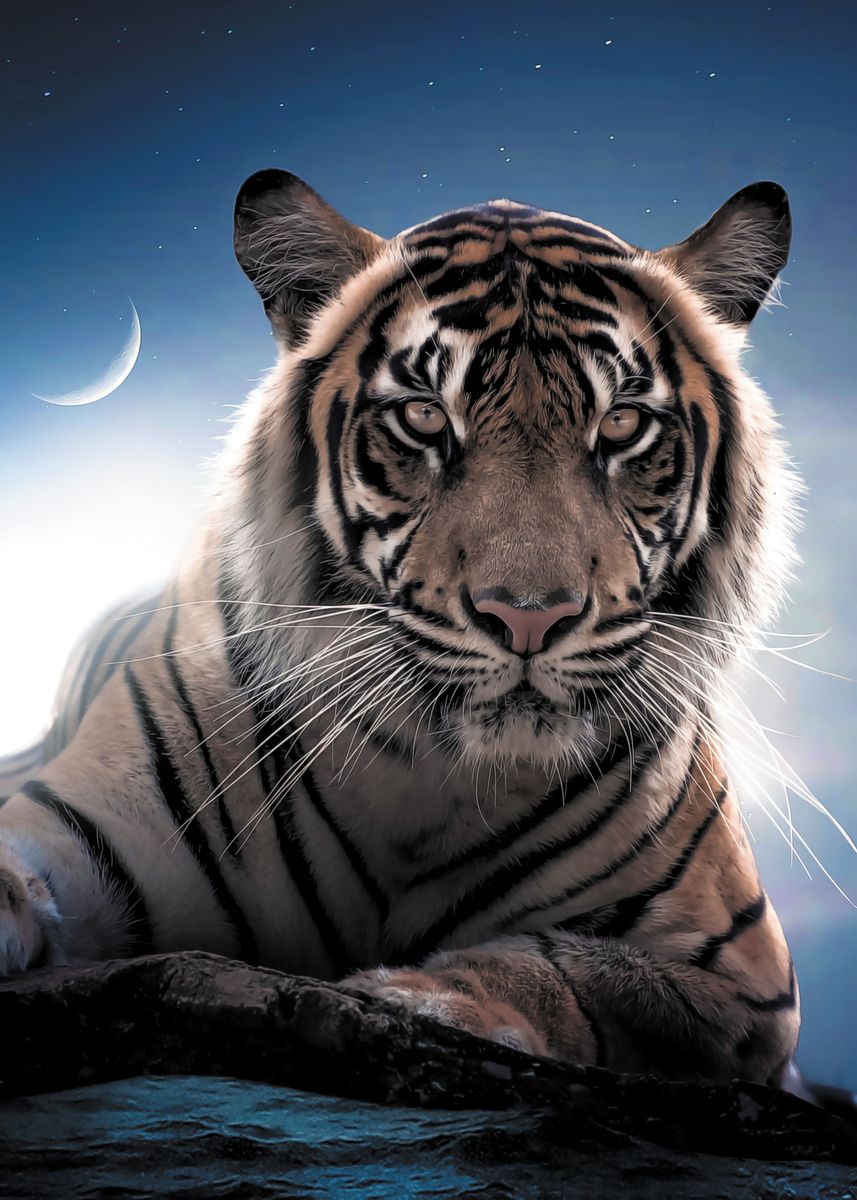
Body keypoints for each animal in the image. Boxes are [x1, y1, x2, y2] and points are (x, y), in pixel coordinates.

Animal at [0, 168, 803, 1087]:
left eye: (621, 424)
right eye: (423, 418)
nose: (529, 615)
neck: (423, 777)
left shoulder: (739, 977)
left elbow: (575, 969)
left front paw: (418, 994)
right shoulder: (74, 831)